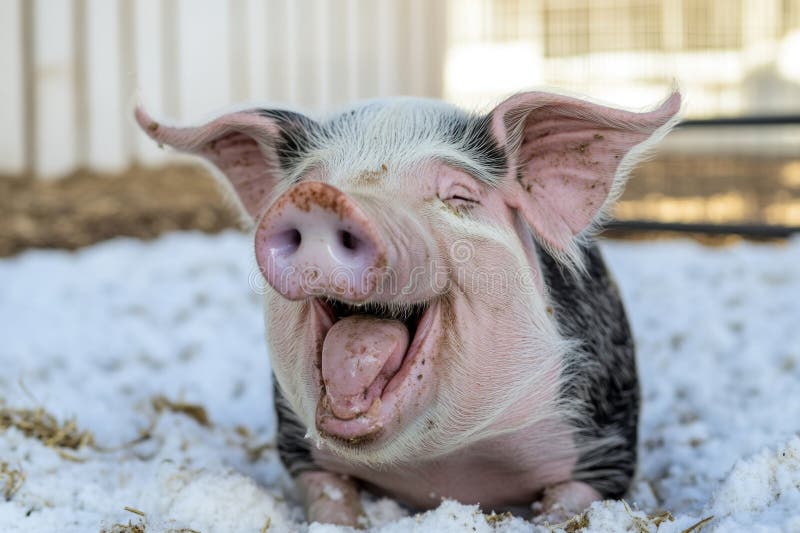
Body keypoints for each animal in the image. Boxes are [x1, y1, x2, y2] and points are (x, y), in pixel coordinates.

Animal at [135, 90, 680, 527]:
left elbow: (569, 502)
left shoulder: (606, 442)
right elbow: (328, 493)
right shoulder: (298, 445)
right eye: (303, 183)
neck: (441, 471)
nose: (318, 198)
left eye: (458, 196)